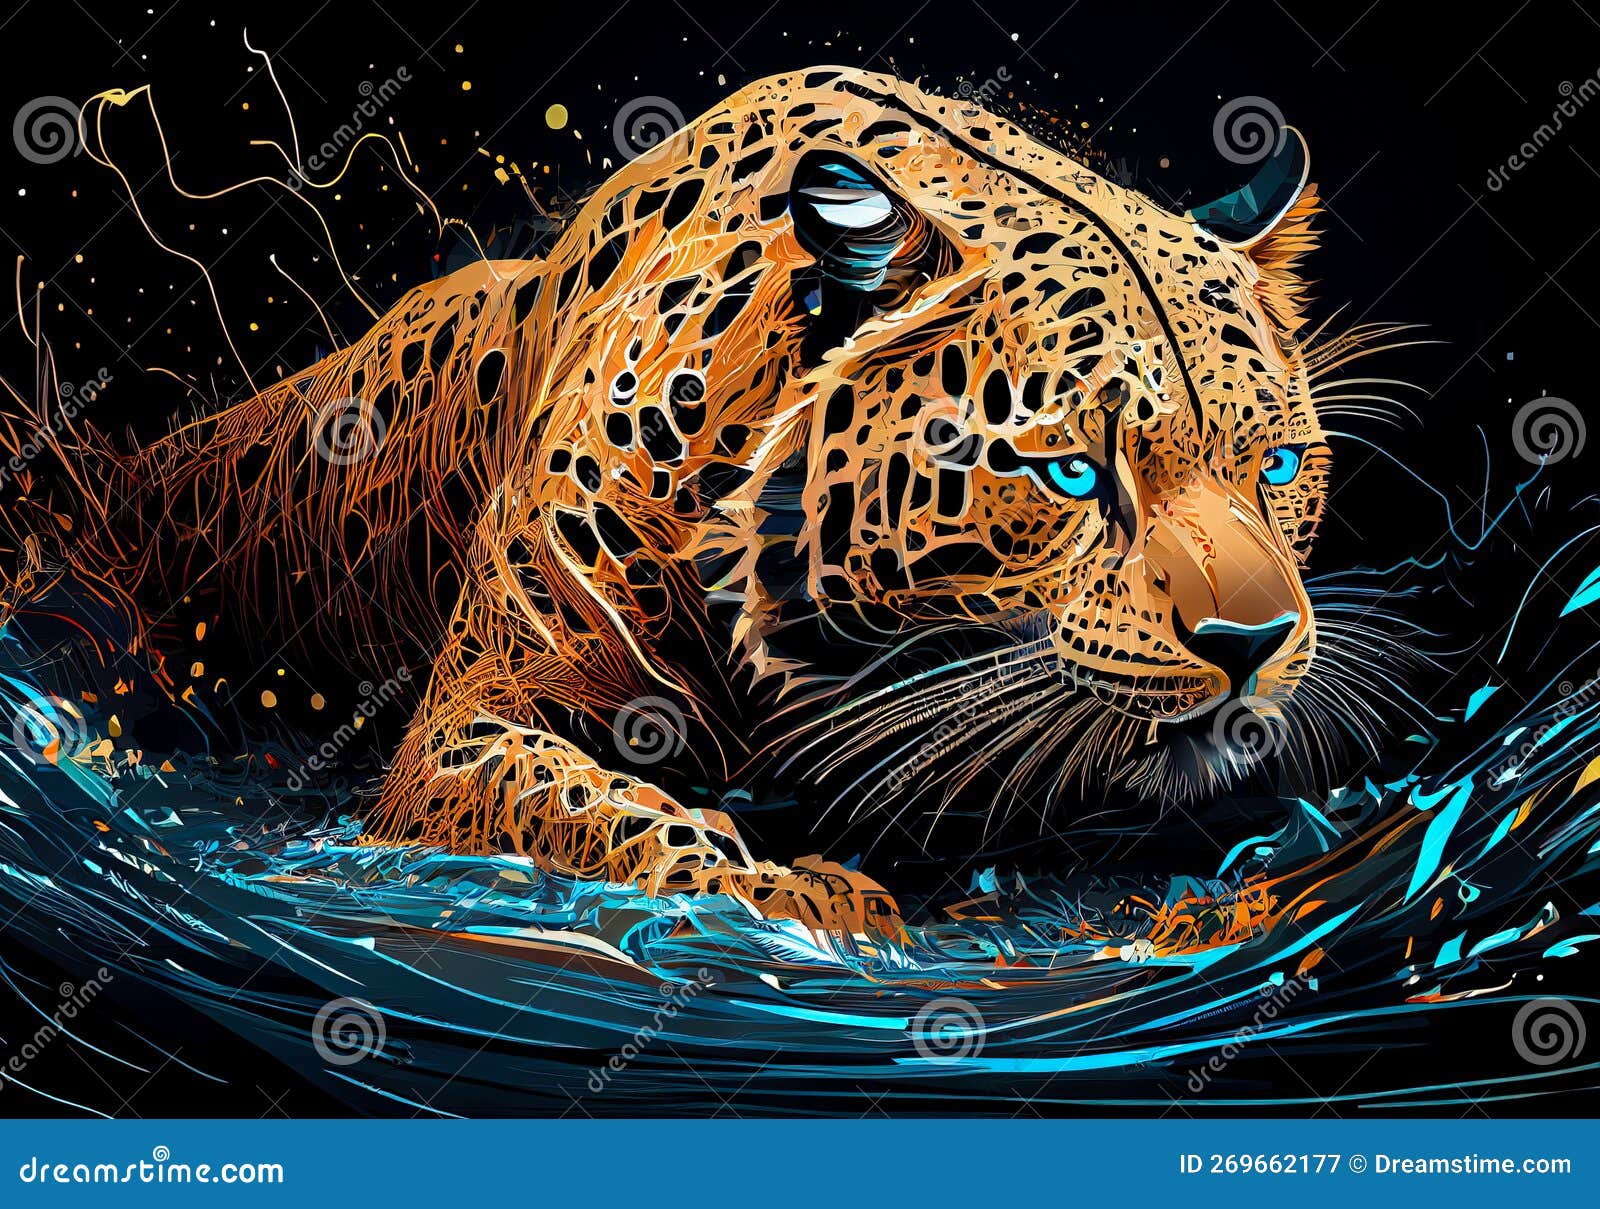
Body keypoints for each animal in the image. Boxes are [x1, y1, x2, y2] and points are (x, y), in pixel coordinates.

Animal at [2, 67, 1336, 936]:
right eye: (1070, 472)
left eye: (1274, 469)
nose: (1252, 642)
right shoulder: (464, 734)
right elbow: (618, 815)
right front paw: (793, 897)